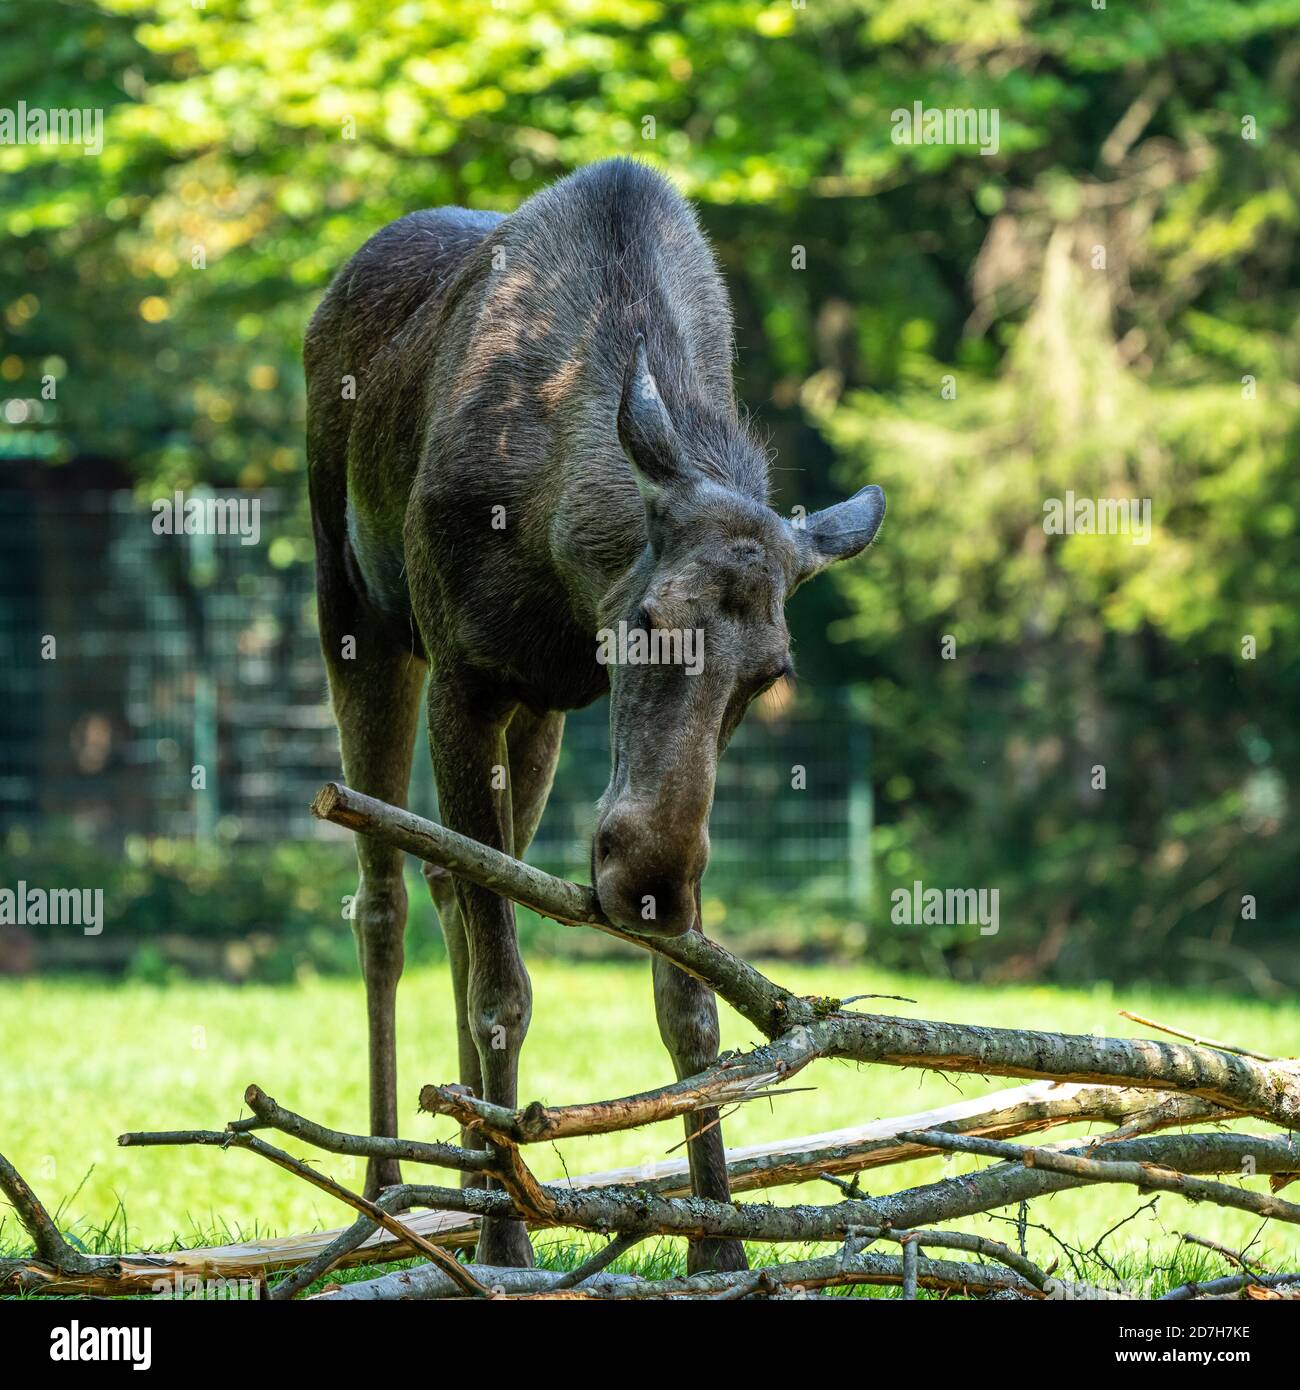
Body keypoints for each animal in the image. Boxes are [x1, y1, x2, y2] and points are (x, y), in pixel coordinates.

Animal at [304, 158, 885, 1272]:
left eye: (770, 673)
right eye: (647, 620)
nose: (648, 881)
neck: (562, 549)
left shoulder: (539, 699)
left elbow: (688, 1008)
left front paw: (717, 1241)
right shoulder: (465, 675)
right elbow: (503, 990)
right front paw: (506, 1241)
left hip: (534, 720)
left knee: (452, 890)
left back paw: (467, 1170)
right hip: (355, 616)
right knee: (385, 903)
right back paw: (385, 1191)